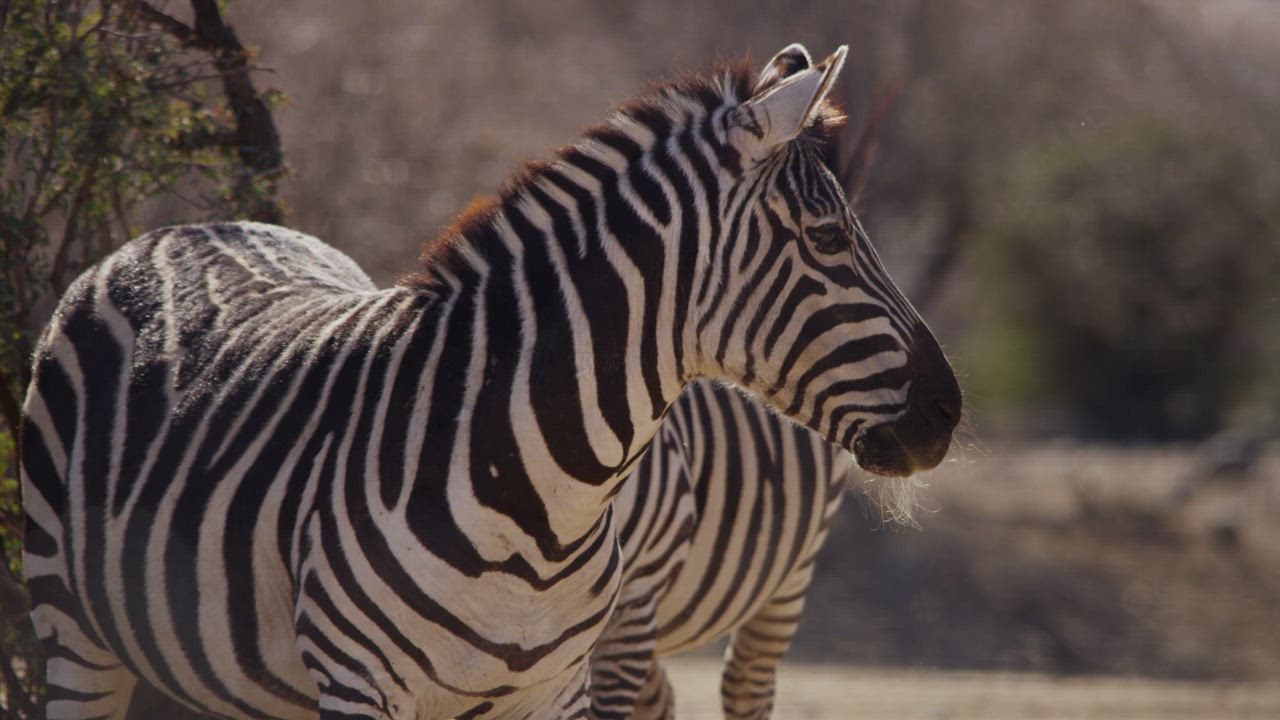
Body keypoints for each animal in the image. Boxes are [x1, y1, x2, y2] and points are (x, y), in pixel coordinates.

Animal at [21, 43, 960, 719]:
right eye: (829, 237)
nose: (947, 411)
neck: (542, 505)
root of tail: (175, 230)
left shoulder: (561, 685)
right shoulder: (359, 685)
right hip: (71, 630)